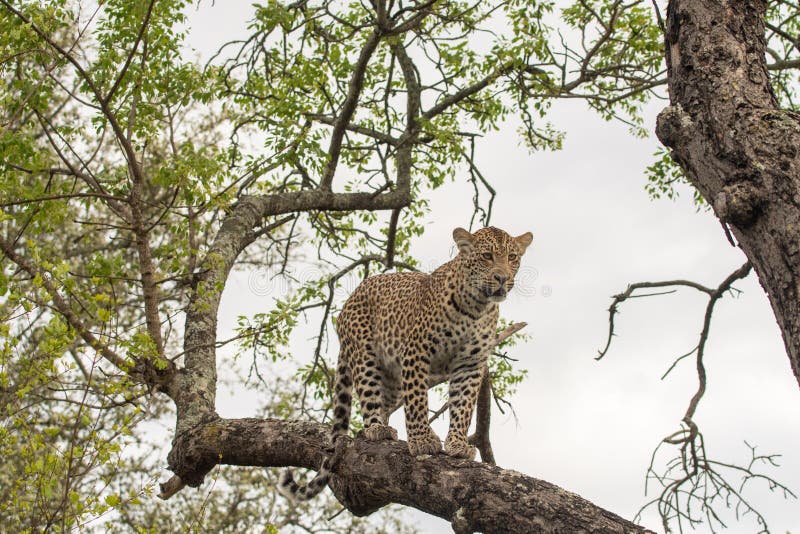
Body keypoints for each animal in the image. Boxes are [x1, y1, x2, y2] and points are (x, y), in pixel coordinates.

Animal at [278, 226, 533, 500]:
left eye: (512, 257)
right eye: (487, 256)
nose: (502, 278)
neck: (476, 306)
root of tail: (349, 300)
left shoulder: (470, 364)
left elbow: (463, 407)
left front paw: (457, 443)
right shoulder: (416, 351)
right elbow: (417, 401)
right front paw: (422, 440)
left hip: (391, 381)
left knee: (384, 402)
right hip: (365, 354)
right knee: (369, 396)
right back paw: (376, 429)